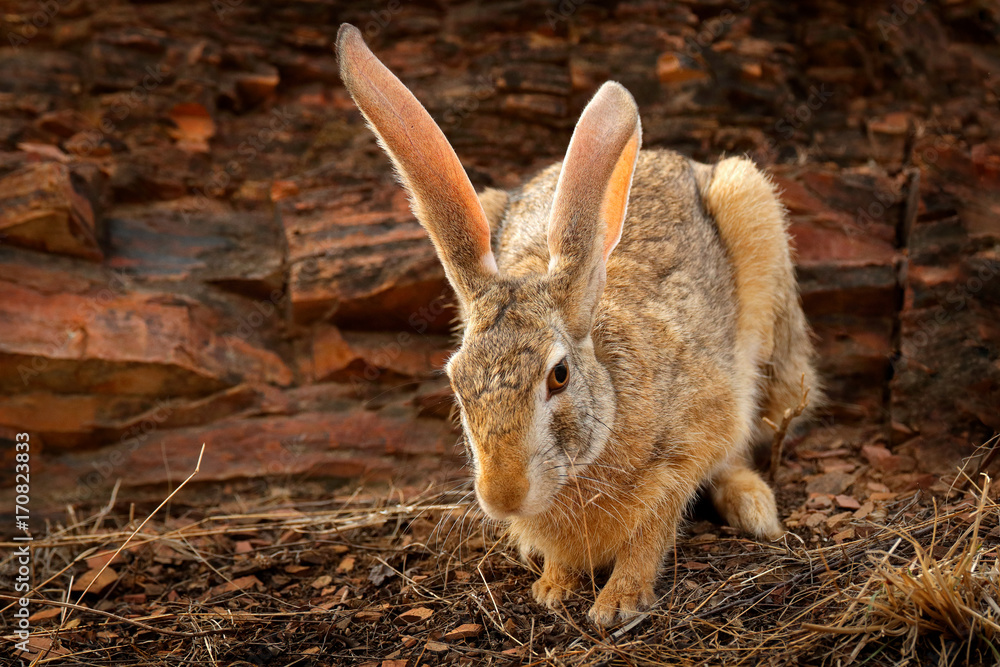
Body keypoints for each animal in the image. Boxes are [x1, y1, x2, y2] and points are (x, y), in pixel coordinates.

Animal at [336, 24, 819, 625]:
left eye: (559, 376)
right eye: (456, 382)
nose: (502, 496)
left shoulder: (692, 440)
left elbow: (654, 528)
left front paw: (618, 603)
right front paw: (554, 586)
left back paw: (754, 508)